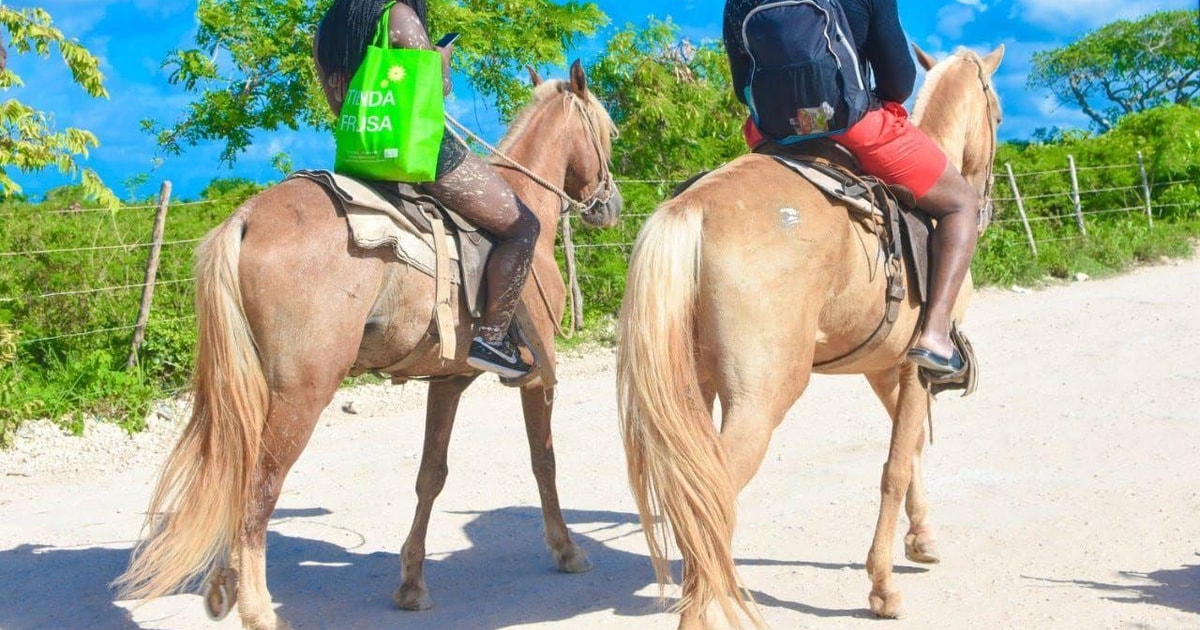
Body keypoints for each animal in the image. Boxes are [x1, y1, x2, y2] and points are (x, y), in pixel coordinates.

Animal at [115, 61, 621, 630]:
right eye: (608, 132)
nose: (611, 205)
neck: (524, 201)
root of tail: (246, 218)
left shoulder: (447, 380)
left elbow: (431, 476)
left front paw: (412, 583)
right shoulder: (540, 372)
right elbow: (544, 460)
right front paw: (567, 549)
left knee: (234, 471)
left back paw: (225, 584)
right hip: (301, 396)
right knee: (258, 489)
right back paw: (258, 608)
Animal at [617, 45, 1004, 629]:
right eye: (998, 114)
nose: (985, 203)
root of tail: (693, 208)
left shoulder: (883, 367)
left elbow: (909, 447)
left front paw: (921, 540)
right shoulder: (916, 366)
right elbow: (895, 465)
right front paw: (883, 586)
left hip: (691, 393)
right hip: (759, 401)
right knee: (710, 510)